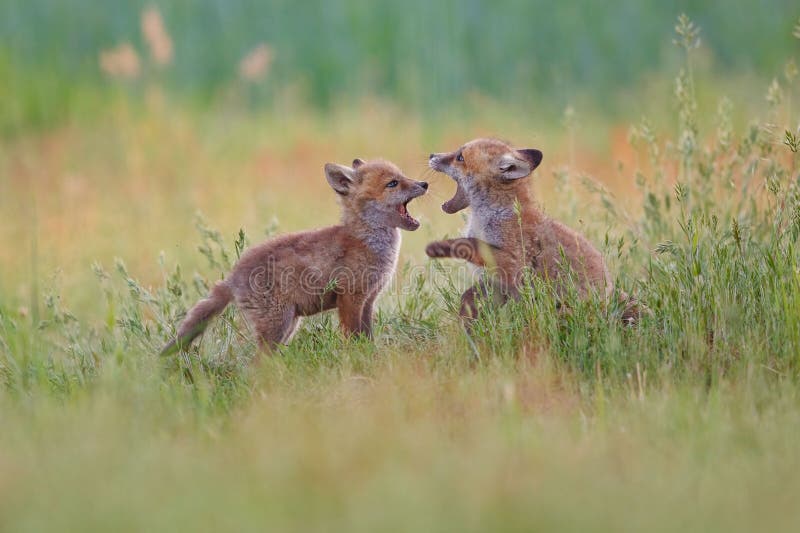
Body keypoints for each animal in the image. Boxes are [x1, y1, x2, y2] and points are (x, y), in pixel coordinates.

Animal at [161, 158, 428, 355]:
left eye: (403, 176)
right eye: (393, 183)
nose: (424, 183)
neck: (366, 241)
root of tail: (233, 276)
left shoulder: (368, 300)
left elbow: (367, 338)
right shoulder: (350, 298)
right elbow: (353, 338)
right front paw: (358, 360)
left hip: (288, 325)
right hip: (278, 325)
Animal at [425, 137, 641, 325]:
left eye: (460, 157)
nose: (431, 155)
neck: (493, 214)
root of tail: (611, 295)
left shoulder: (513, 263)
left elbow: (471, 244)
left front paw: (439, 247)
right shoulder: (498, 283)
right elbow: (470, 296)